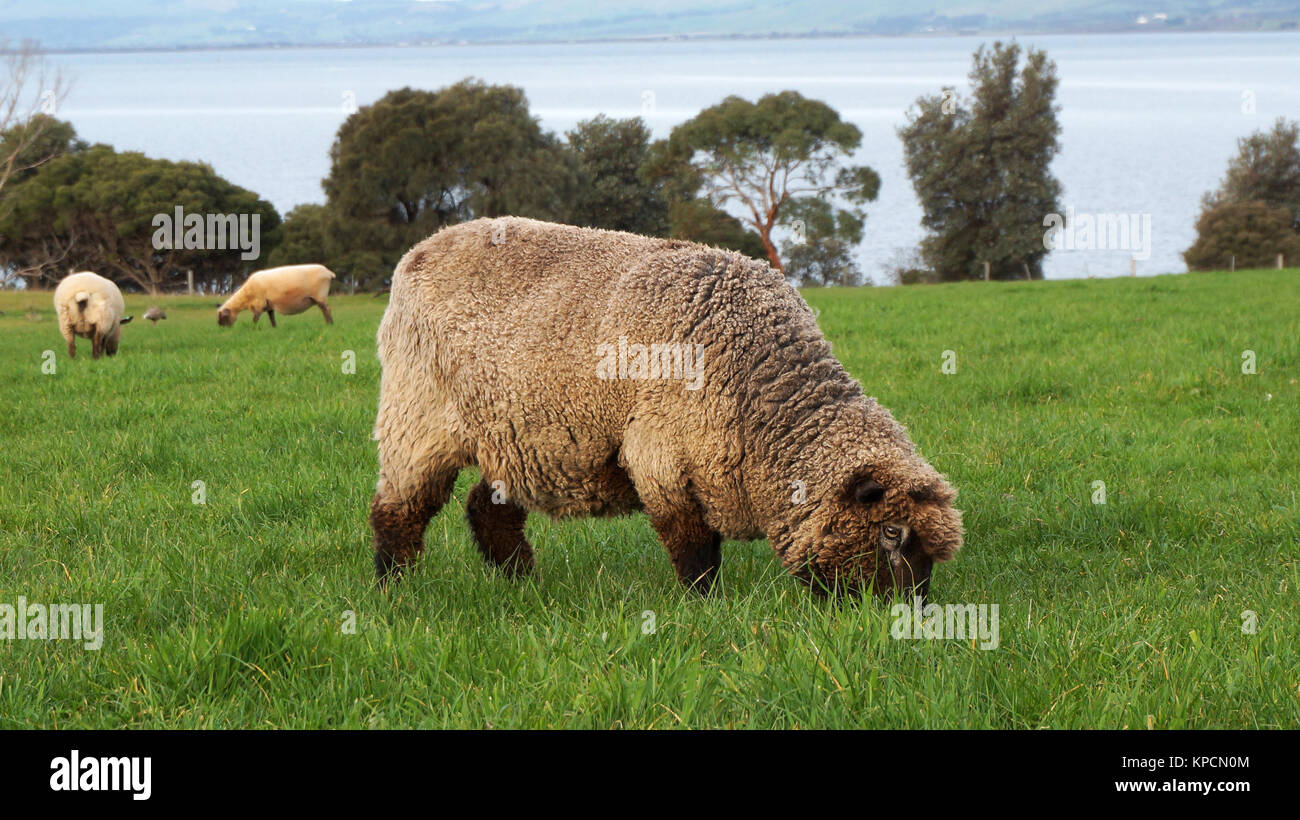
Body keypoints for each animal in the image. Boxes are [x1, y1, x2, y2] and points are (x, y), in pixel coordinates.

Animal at [370, 217, 963, 599]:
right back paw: (393, 589)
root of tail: (421, 249)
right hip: (417, 415)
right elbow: (694, 544)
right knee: (397, 508)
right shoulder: (662, 455)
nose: (909, 612)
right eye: (892, 533)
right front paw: (704, 604)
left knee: (487, 507)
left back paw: (521, 582)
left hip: (518, 437)